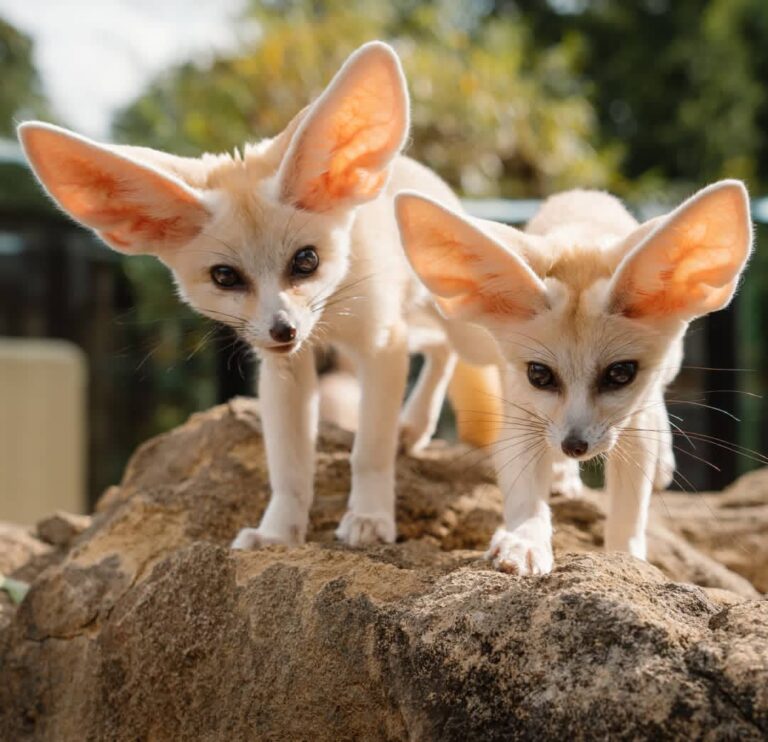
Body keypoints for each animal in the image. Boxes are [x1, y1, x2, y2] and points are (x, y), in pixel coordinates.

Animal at [18, 41, 502, 549]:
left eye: (306, 260)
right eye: (225, 277)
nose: (282, 330)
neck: (331, 317)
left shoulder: (380, 345)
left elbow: (369, 450)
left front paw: (370, 517)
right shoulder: (287, 369)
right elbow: (289, 467)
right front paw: (277, 533)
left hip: (464, 329)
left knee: (473, 353)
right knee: (441, 350)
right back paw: (412, 426)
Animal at [395, 182, 752, 575]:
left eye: (620, 373)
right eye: (539, 374)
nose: (574, 446)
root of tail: (582, 192)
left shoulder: (631, 423)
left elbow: (629, 507)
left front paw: (627, 558)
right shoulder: (521, 409)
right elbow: (524, 489)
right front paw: (525, 540)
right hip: (473, 342)